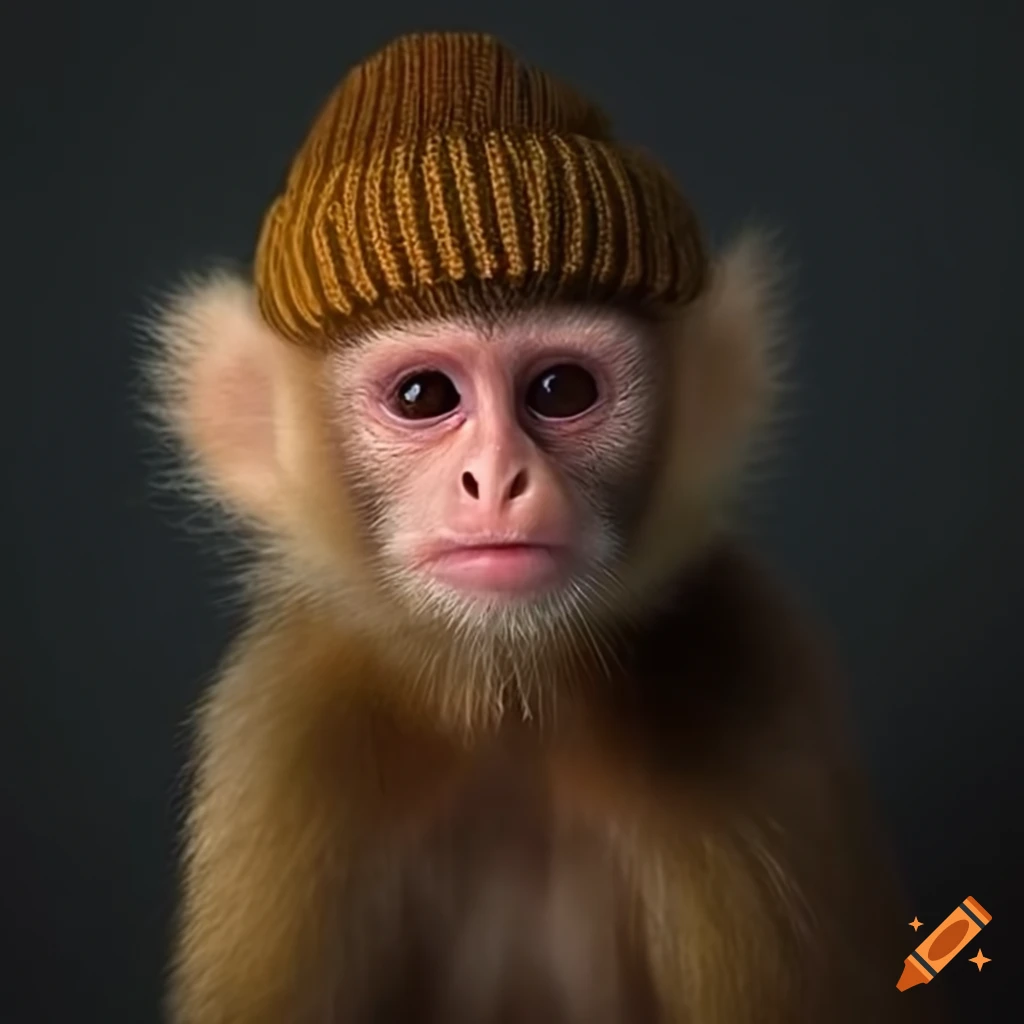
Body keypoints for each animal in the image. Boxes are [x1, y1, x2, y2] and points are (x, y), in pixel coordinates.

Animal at [144, 30, 938, 1024]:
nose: (498, 480)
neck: (512, 701)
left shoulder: (749, 684)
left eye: (560, 390)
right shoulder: (286, 735)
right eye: (424, 396)